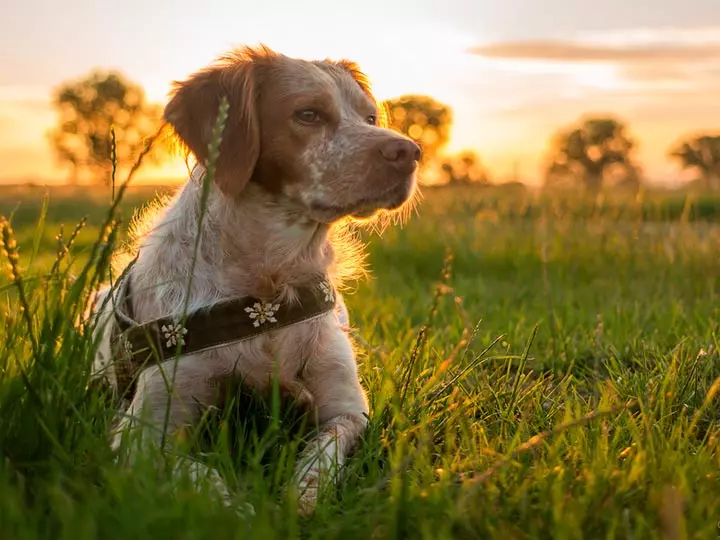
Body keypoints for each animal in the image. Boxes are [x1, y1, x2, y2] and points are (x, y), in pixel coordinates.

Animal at [89, 44, 420, 512]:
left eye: (370, 118)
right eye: (308, 114)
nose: (410, 152)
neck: (269, 284)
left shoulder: (347, 409)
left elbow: (321, 460)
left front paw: (300, 500)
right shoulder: (140, 433)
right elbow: (205, 480)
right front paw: (247, 511)